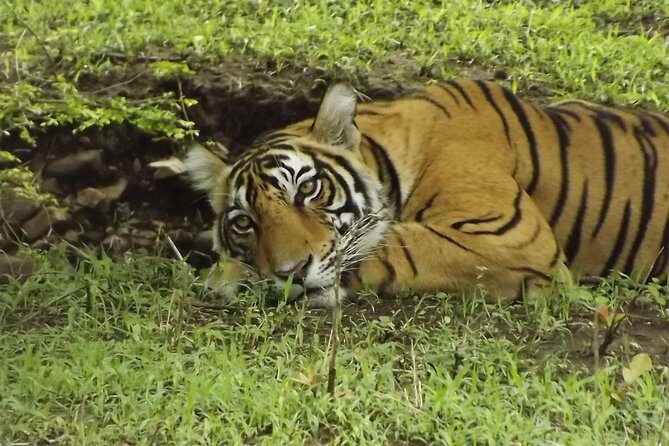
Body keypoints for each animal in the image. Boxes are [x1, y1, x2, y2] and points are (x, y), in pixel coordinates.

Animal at [184, 79, 669, 307]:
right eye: (245, 222)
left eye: (307, 188)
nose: (290, 274)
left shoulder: (513, 236)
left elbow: (397, 244)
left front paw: (227, 275)